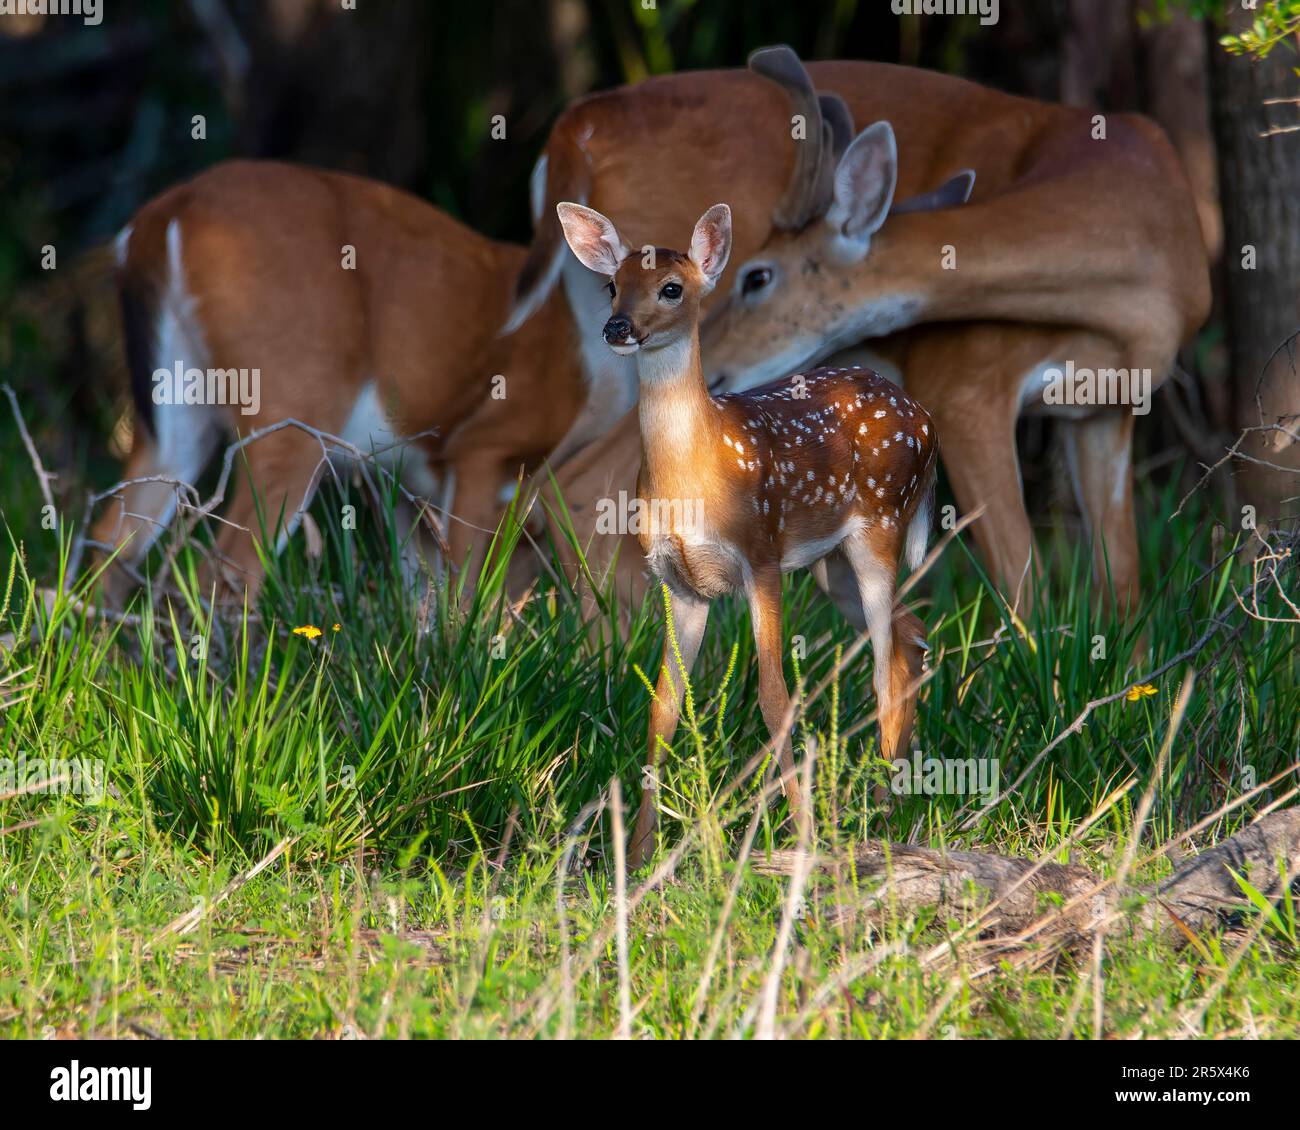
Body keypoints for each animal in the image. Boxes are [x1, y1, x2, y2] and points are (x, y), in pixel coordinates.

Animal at [89, 159, 583, 606]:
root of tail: (168, 209)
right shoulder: (481, 453)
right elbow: (463, 587)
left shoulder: (407, 489)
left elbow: (422, 595)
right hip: (293, 408)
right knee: (226, 565)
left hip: (175, 408)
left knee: (114, 539)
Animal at [514, 46, 1213, 619]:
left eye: (757, 276)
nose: (714, 348)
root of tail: (570, 133)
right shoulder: (962, 381)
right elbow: (1025, 583)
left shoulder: (1104, 410)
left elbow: (1122, 589)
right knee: (578, 484)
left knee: (539, 481)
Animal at [556, 200, 937, 868]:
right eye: (611, 286)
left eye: (672, 288)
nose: (617, 328)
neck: (694, 472)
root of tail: (924, 419)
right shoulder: (679, 583)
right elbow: (664, 705)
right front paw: (642, 853)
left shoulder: (760, 557)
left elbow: (774, 695)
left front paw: (799, 837)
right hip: (832, 564)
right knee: (910, 636)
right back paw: (889, 803)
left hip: (880, 529)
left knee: (885, 663)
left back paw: (880, 818)